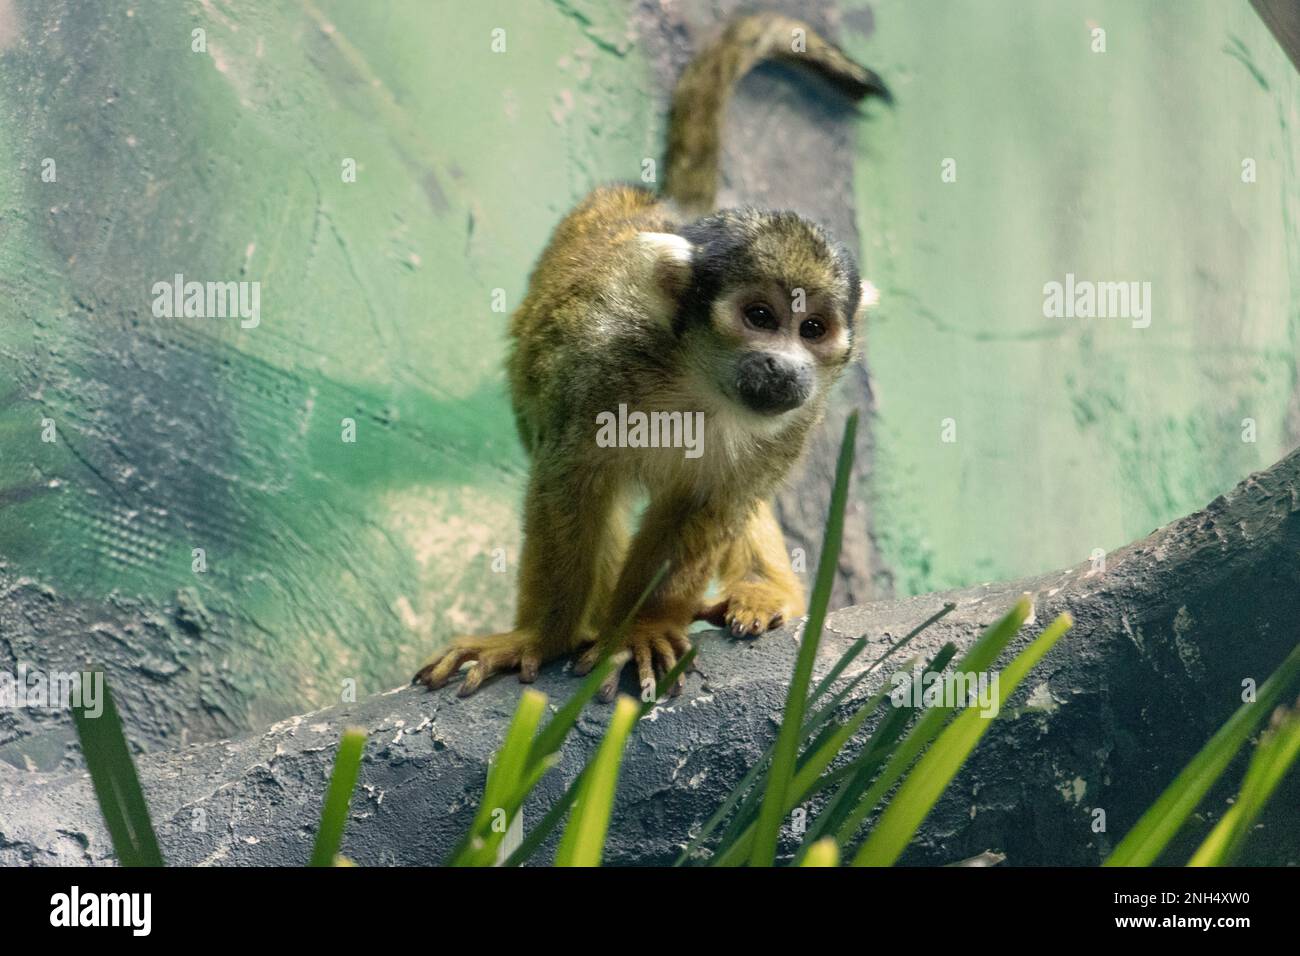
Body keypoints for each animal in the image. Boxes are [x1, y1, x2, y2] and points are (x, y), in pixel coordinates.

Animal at [414, 12, 888, 701]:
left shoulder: (798, 421)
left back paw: (761, 588)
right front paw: (542, 637)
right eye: (761, 318)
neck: (697, 380)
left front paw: (642, 627)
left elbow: (711, 505)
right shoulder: (597, 361)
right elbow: (573, 480)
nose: (785, 367)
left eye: (813, 328)